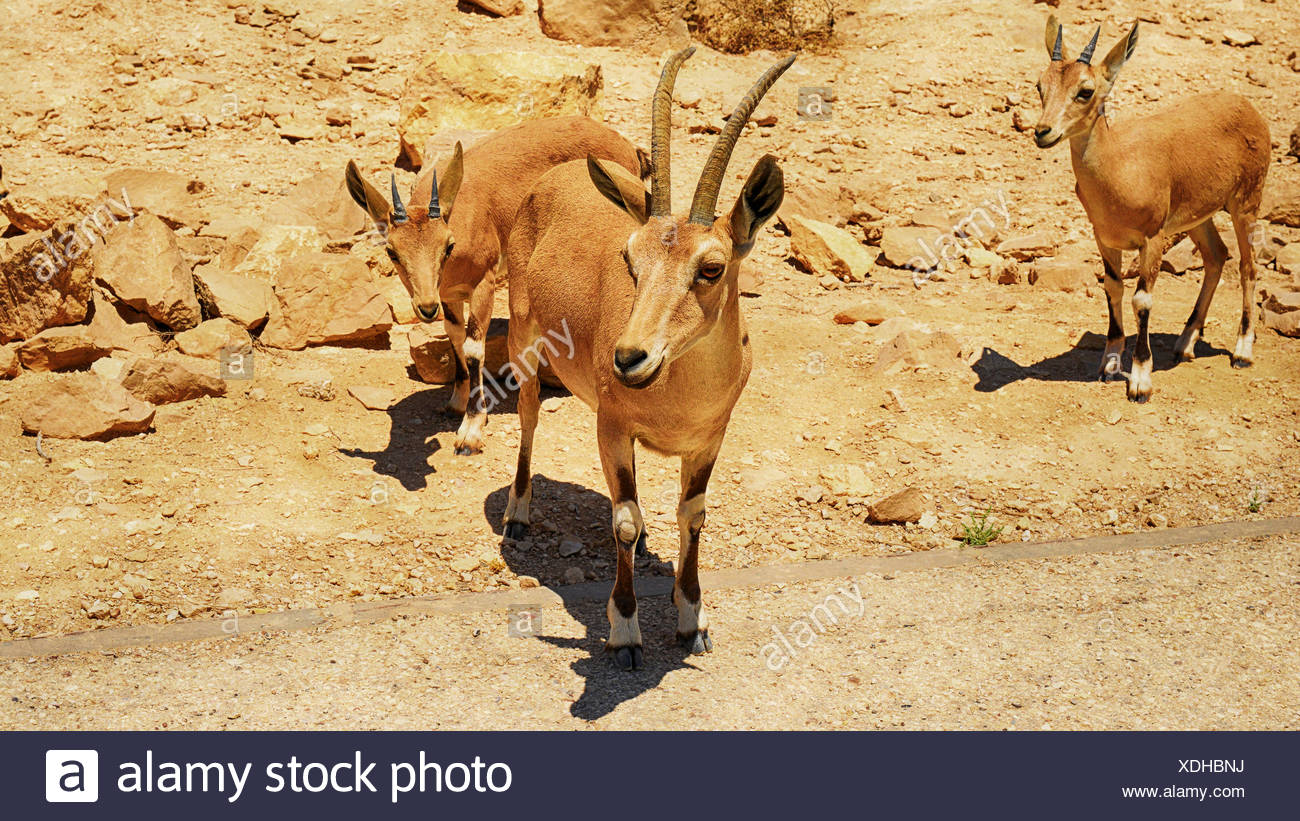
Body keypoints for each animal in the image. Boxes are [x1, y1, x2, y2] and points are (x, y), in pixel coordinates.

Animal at [344, 117, 650, 454]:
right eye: (391, 252)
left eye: (448, 246)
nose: (425, 307)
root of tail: (627, 146)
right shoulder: (448, 294)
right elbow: (454, 337)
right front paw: (455, 402)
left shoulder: (484, 282)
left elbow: (474, 348)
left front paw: (471, 431)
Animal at [502, 47, 793, 670]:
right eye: (629, 258)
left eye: (711, 267)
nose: (628, 359)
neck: (677, 399)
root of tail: (557, 175)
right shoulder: (612, 427)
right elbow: (625, 521)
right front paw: (626, 632)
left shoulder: (710, 438)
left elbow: (693, 515)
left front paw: (692, 621)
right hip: (523, 338)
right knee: (530, 415)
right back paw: (517, 515)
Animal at [1033, 17, 1270, 402]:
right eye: (1040, 85)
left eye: (1085, 90)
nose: (1043, 132)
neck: (1119, 168)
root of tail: (1247, 106)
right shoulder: (1105, 238)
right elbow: (1113, 289)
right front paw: (1110, 364)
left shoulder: (1153, 238)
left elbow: (1142, 300)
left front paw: (1140, 381)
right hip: (1197, 216)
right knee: (1216, 256)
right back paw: (1185, 342)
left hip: (1246, 203)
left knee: (1248, 266)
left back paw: (1242, 352)